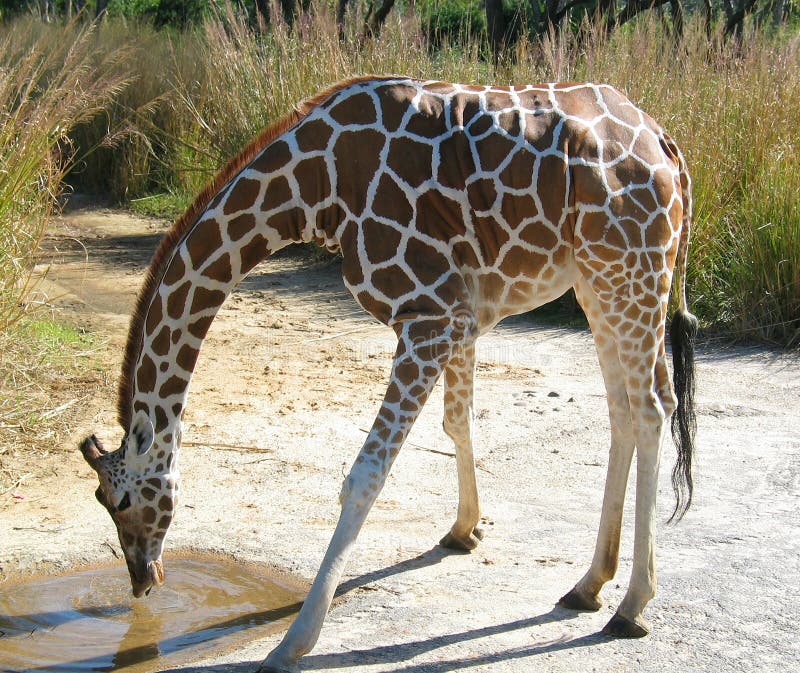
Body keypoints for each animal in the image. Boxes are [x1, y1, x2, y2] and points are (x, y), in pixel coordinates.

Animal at [79, 76, 697, 672]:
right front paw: (465, 530)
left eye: (118, 501)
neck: (317, 188)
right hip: (601, 283)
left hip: (628, 272)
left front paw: (291, 644)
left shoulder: (431, 316)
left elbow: (366, 476)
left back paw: (631, 606)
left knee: (649, 410)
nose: (142, 580)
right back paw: (589, 585)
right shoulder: (459, 315)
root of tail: (666, 145)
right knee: (626, 409)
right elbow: (458, 422)